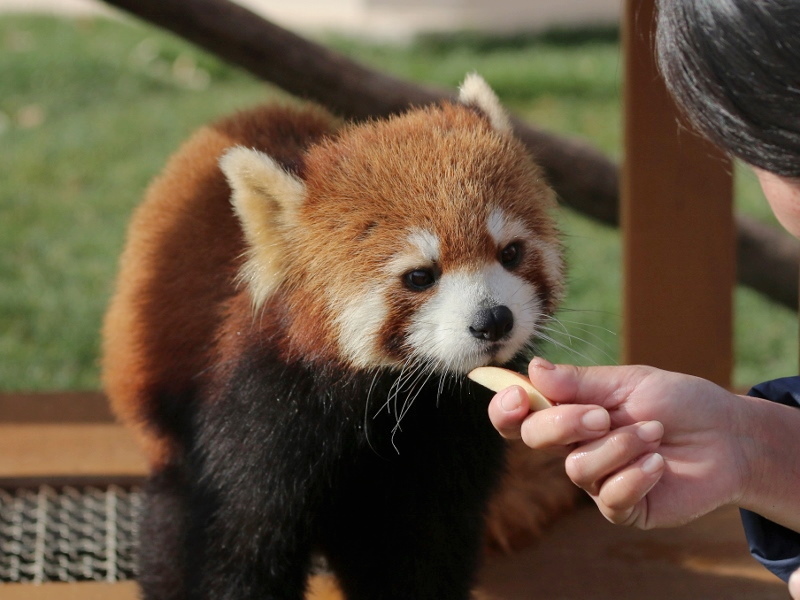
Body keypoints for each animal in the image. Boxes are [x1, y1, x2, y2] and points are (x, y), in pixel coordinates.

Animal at [104, 75, 568, 600]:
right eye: (419, 276)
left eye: (509, 253)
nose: (493, 321)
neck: (388, 401)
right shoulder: (258, 407)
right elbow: (226, 537)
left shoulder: (447, 440)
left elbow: (421, 547)